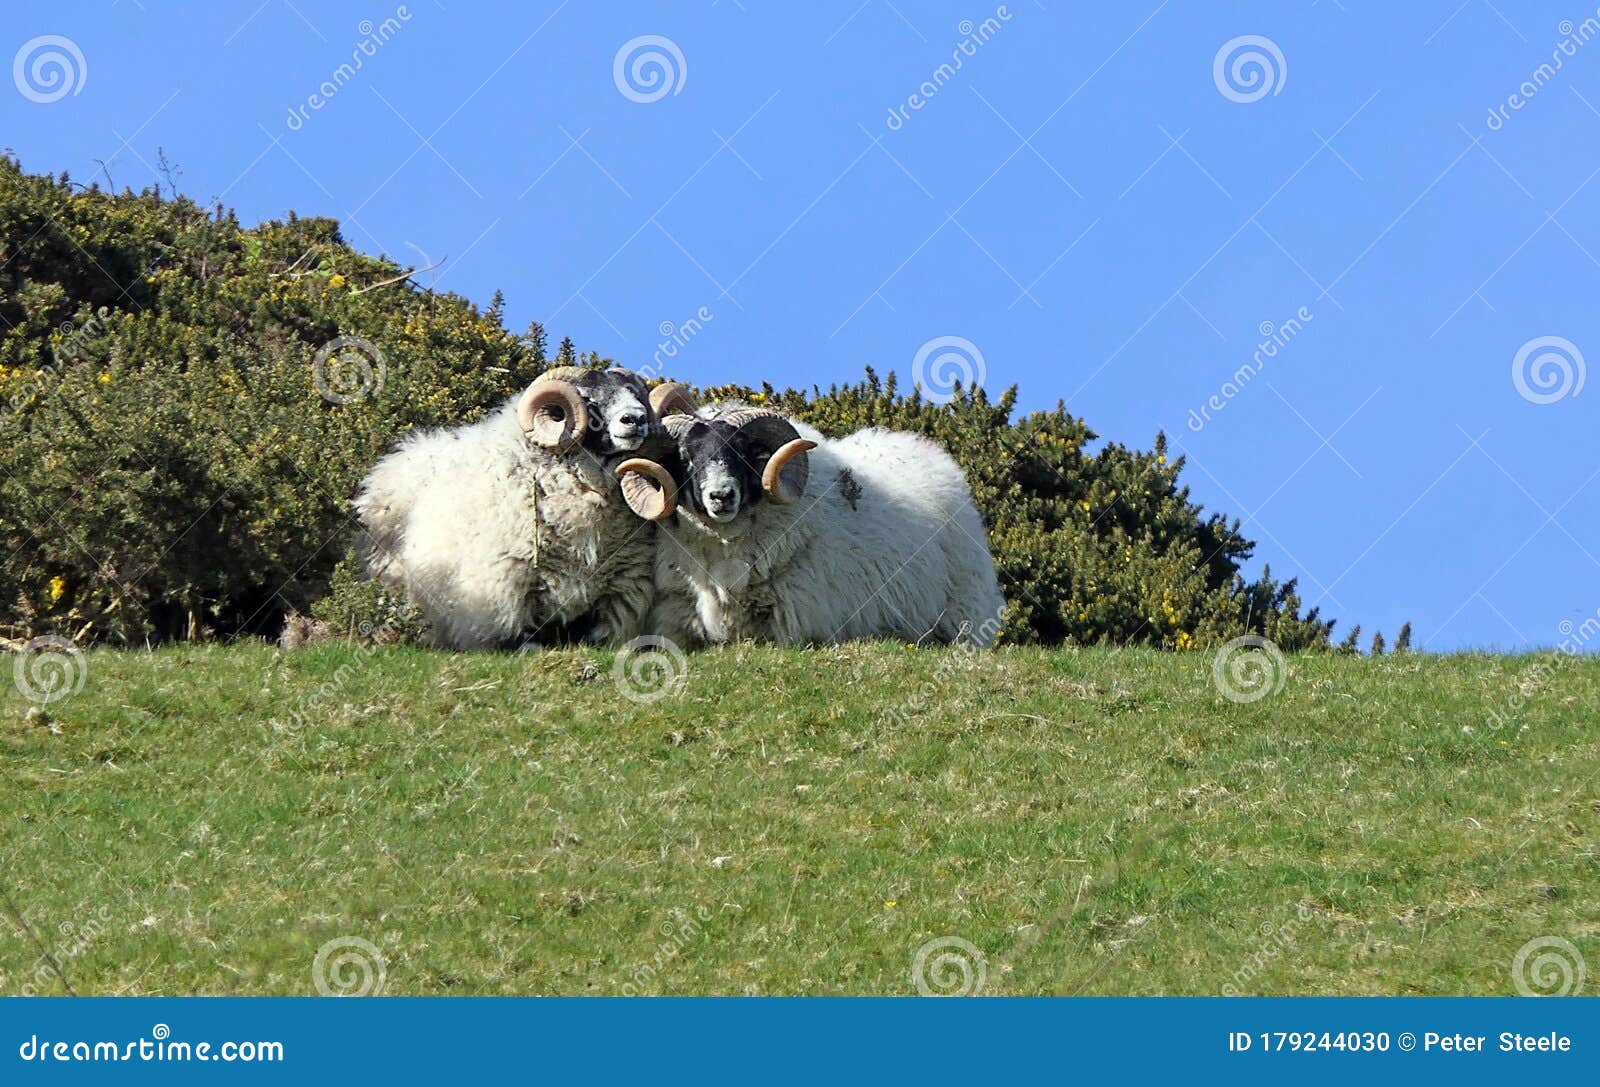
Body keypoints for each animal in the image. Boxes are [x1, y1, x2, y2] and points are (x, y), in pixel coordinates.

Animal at [353, 367, 696, 649]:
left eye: (638, 396)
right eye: (589, 400)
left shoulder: (619, 593)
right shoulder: (504, 589)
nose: (635, 419)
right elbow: (522, 639)